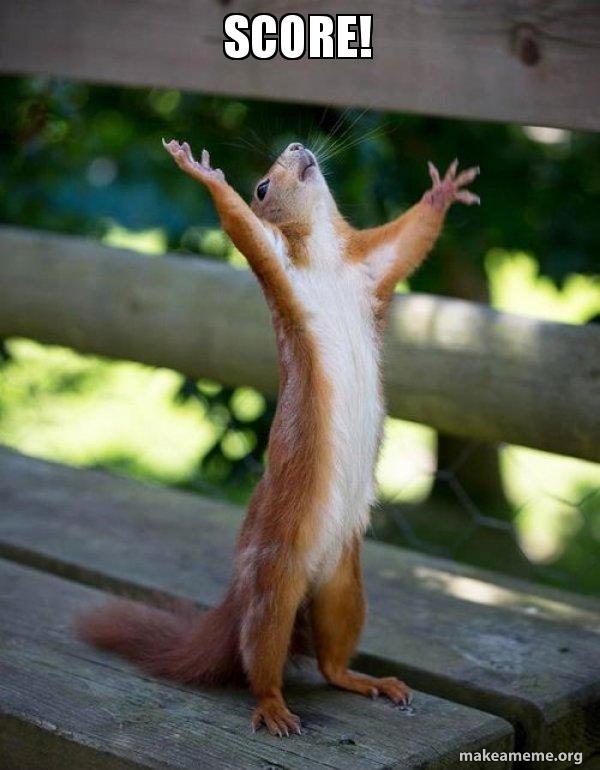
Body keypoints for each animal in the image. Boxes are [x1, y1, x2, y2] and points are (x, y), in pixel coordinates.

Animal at [78, 138, 479, 737]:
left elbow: (408, 241)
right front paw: (204, 174)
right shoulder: (277, 265)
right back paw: (273, 707)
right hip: (274, 583)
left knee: (332, 660)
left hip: (344, 585)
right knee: (261, 657)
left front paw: (443, 191)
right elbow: (241, 227)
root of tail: (239, 596)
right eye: (262, 186)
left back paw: (367, 681)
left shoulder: (371, 267)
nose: (296, 146)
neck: (327, 258)